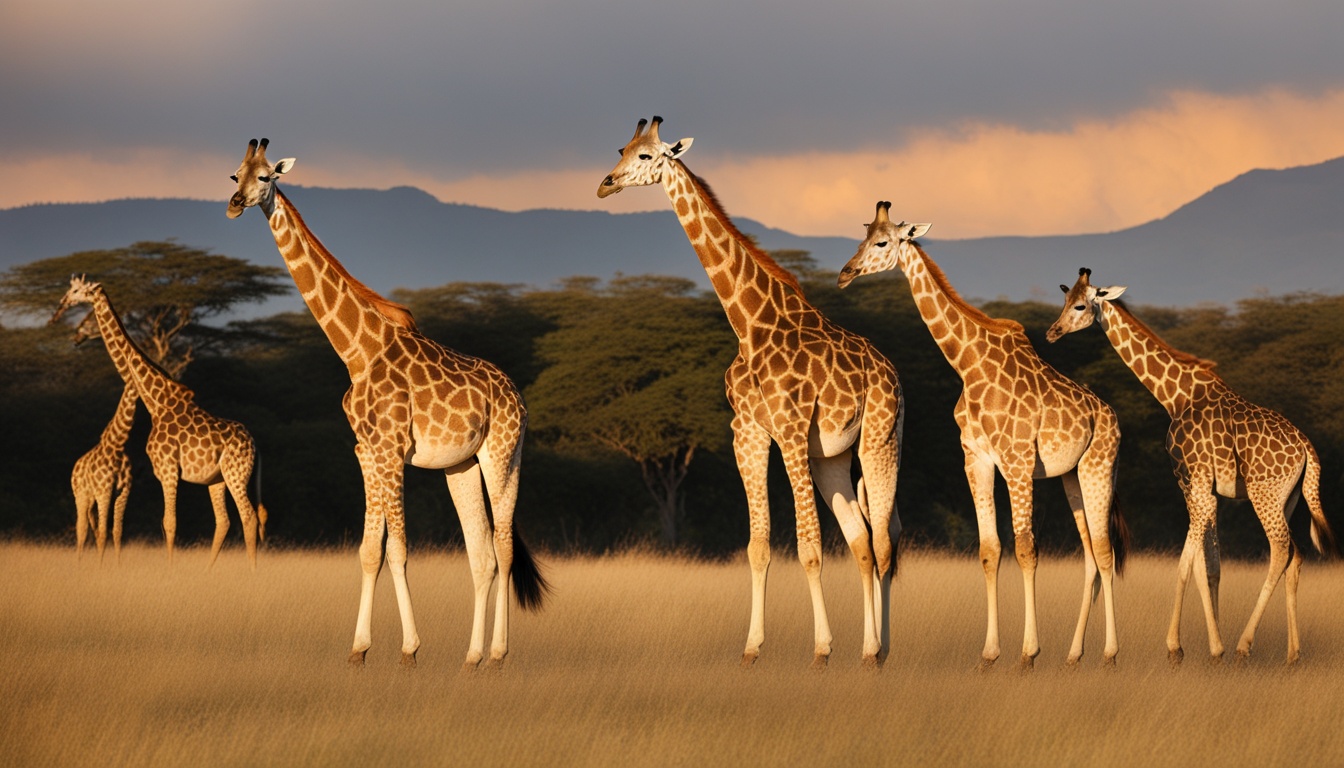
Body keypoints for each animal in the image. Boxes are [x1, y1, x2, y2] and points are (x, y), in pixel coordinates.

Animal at [51, 277, 265, 569]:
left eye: (76, 291)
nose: (60, 307)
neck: (156, 401)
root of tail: (255, 444)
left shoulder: (167, 470)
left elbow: (170, 522)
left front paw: (169, 570)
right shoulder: (166, 474)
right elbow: (165, 524)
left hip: (236, 474)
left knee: (249, 517)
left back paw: (252, 571)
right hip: (218, 478)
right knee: (225, 521)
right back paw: (208, 571)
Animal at [226, 138, 547, 668]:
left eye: (266, 177)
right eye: (235, 175)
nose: (234, 204)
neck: (357, 351)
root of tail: (517, 396)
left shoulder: (394, 450)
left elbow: (397, 550)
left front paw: (409, 649)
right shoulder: (366, 451)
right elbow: (369, 551)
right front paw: (358, 649)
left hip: (503, 453)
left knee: (502, 547)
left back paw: (499, 654)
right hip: (460, 465)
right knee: (480, 553)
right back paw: (472, 657)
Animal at [599, 118, 902, 668]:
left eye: (649, 156)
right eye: (621, 148)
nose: (605, 184)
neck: (749, 325)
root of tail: (891, 372)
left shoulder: (790, 429)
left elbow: (808, 546)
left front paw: (821, 648)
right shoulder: (749, 433)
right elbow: (758, 546)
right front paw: (752, 647)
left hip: (879, 440)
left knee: (885, 540)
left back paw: (880, 651)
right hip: (830, 458)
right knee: (862, 541)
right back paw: (868, 647)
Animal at [839, 203, 1127, 668]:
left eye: (882, 242)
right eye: (863, 236)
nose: (845, 273)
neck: (969, 364)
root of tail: (1113, 418)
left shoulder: (1018, 460)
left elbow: (1026, 548)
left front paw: (1028, 653)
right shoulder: (976, 458)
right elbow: (989, 550)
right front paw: (990, 653)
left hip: (1100, 467)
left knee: (1104, 551)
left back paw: (1110, 653)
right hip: (1073, 476)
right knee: (1090, 555)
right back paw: (1075, 653)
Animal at [1047, 268, 1336, 664]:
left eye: (1080, 304)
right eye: (1063, 300)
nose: (1052, 332)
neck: (1176, 395)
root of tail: (1307, 449)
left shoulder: (1190, 478)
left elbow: (1187, 563)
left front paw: (1177, 646)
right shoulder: (1207, 487)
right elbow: (1210, 566)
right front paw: (1215, 645)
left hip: (1263, 492)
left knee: (1280, 549)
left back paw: (1245, 644)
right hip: (1288, 497)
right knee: (1296, 555)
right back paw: (1292, 653)